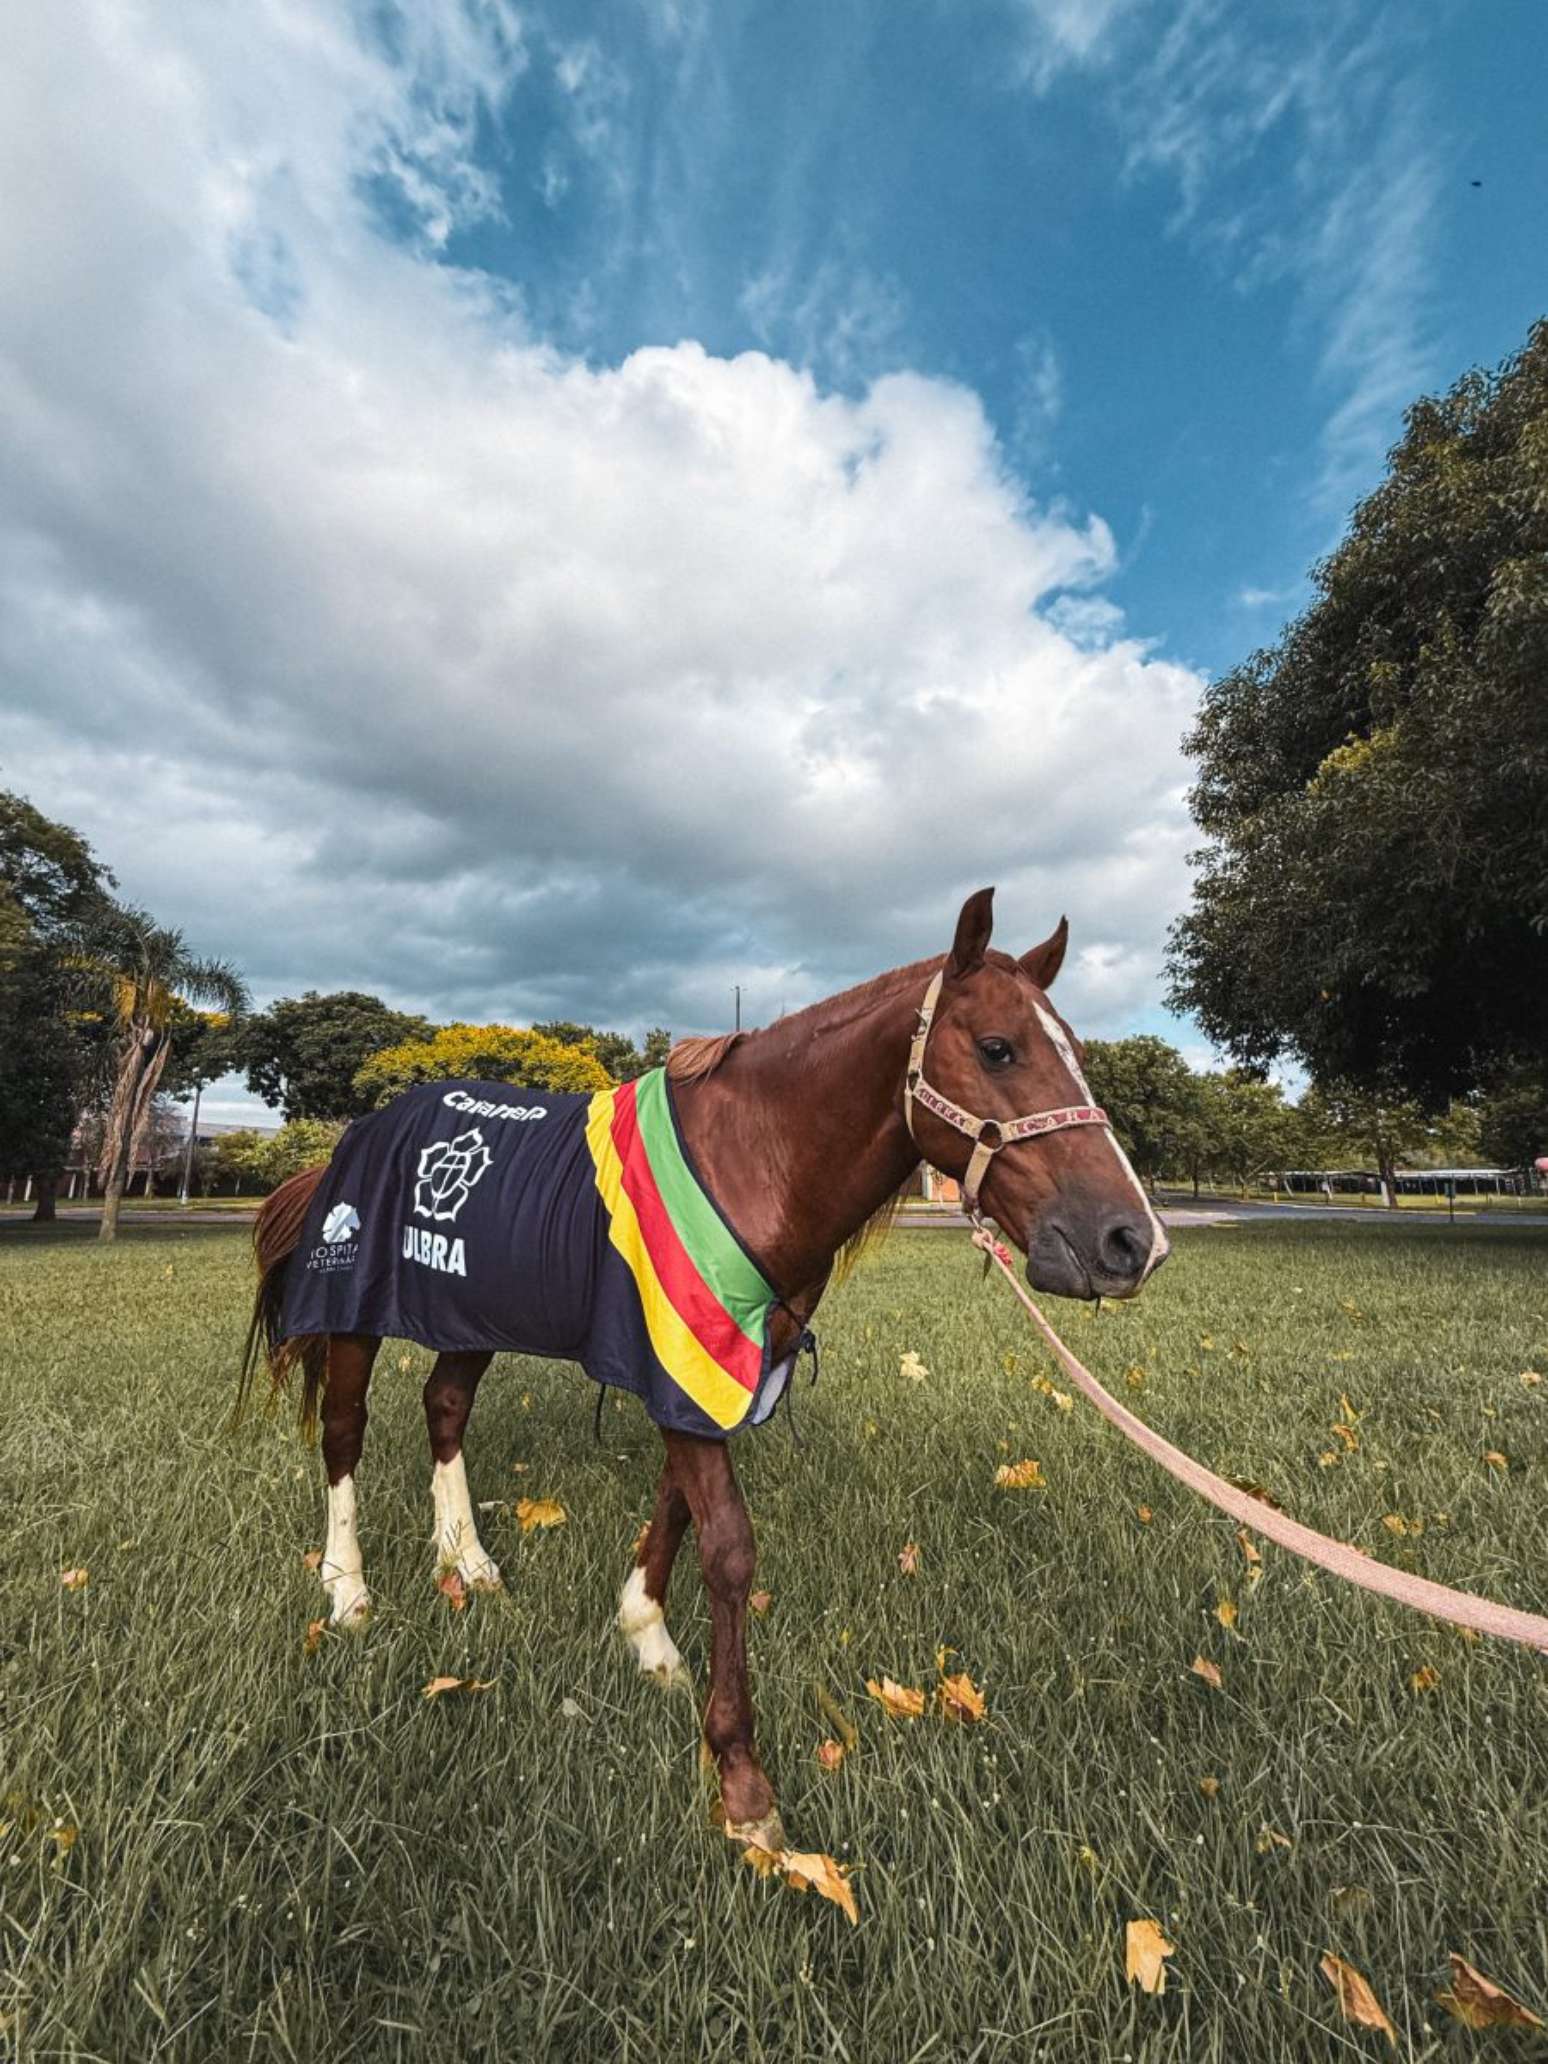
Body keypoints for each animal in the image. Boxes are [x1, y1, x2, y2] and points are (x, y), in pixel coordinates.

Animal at [238, 887, 1168, 1851]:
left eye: (1077, 1052)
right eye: (997, 1048)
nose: (1129, 1241)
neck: (754, 1163)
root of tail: (353, 1138)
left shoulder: (705, 1372)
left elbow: (678, 1510)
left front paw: (646, 1635)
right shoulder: (681, 1368)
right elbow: (727, 1548)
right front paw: (741, 1779)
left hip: (471, 1314)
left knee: (445, 1406)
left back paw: (468, 1560)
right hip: (355, 1317)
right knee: (345, 1430)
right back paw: (347, 1590)